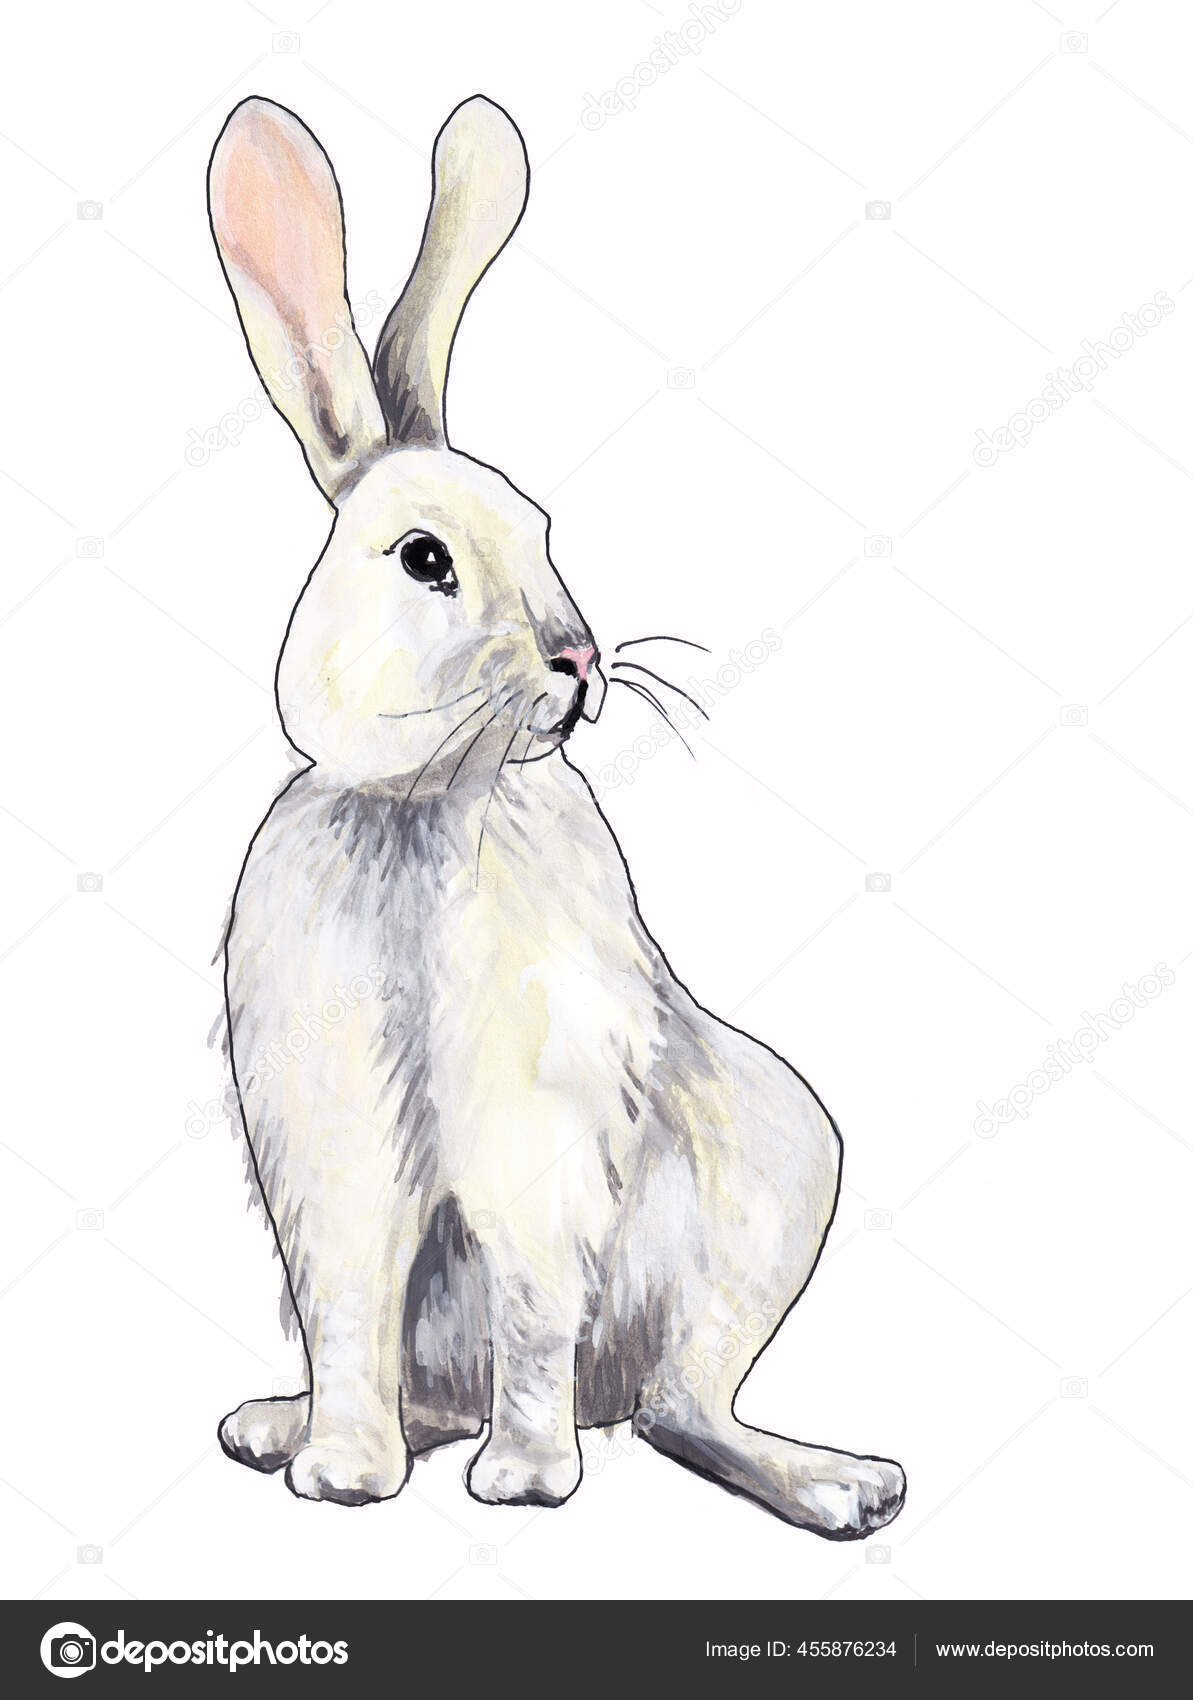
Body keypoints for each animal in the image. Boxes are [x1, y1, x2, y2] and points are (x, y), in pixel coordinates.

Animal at [208, 91, 905, 1539]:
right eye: (425, 558)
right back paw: (273, 1426)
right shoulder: (332, 1146)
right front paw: (339, 1475)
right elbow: (345, 1301)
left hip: (766, 1193)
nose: (579, 658)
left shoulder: (538, 1133)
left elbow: (534, 1307)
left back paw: (843, 1489)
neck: (428, 801)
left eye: (540, 525)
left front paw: (523, 1483)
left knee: (683, 1408)